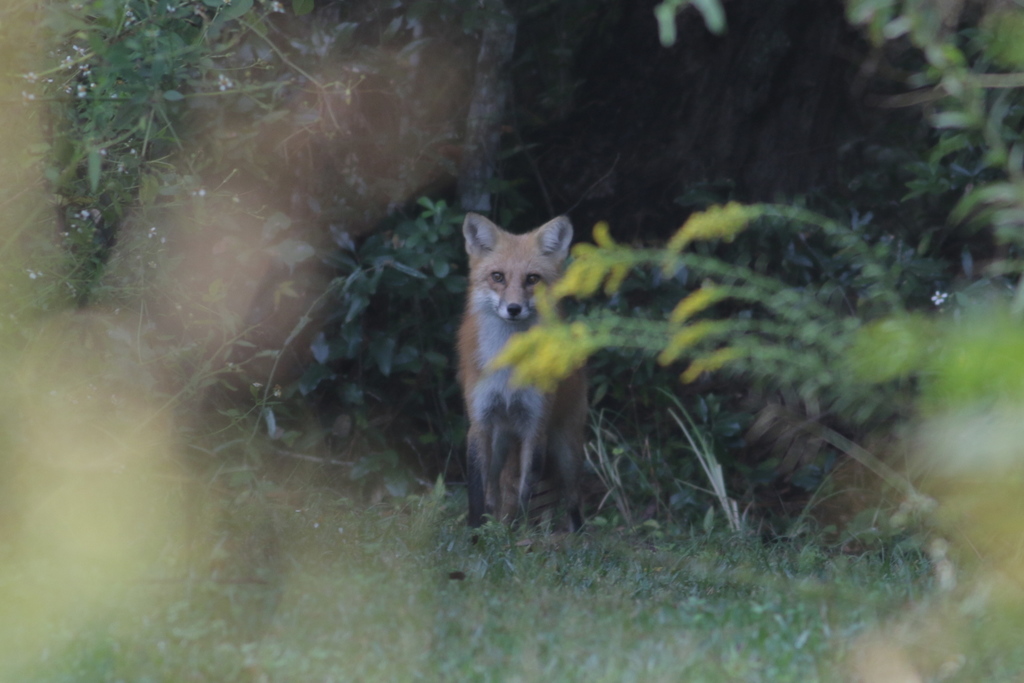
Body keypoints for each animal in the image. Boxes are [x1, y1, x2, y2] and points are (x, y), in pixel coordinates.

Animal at [457, 212, 587, 532]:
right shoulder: (480, 421)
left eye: (532, 279)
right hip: (500, 442)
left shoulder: (535, 423)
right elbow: (477, 490)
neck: (509, 369)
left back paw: (577, 533)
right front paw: (476, 533)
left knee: (573, 495)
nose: (513, 309)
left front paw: (519, 533)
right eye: (498, 277)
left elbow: (526, 490)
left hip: (567, 447)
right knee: (493, 487)